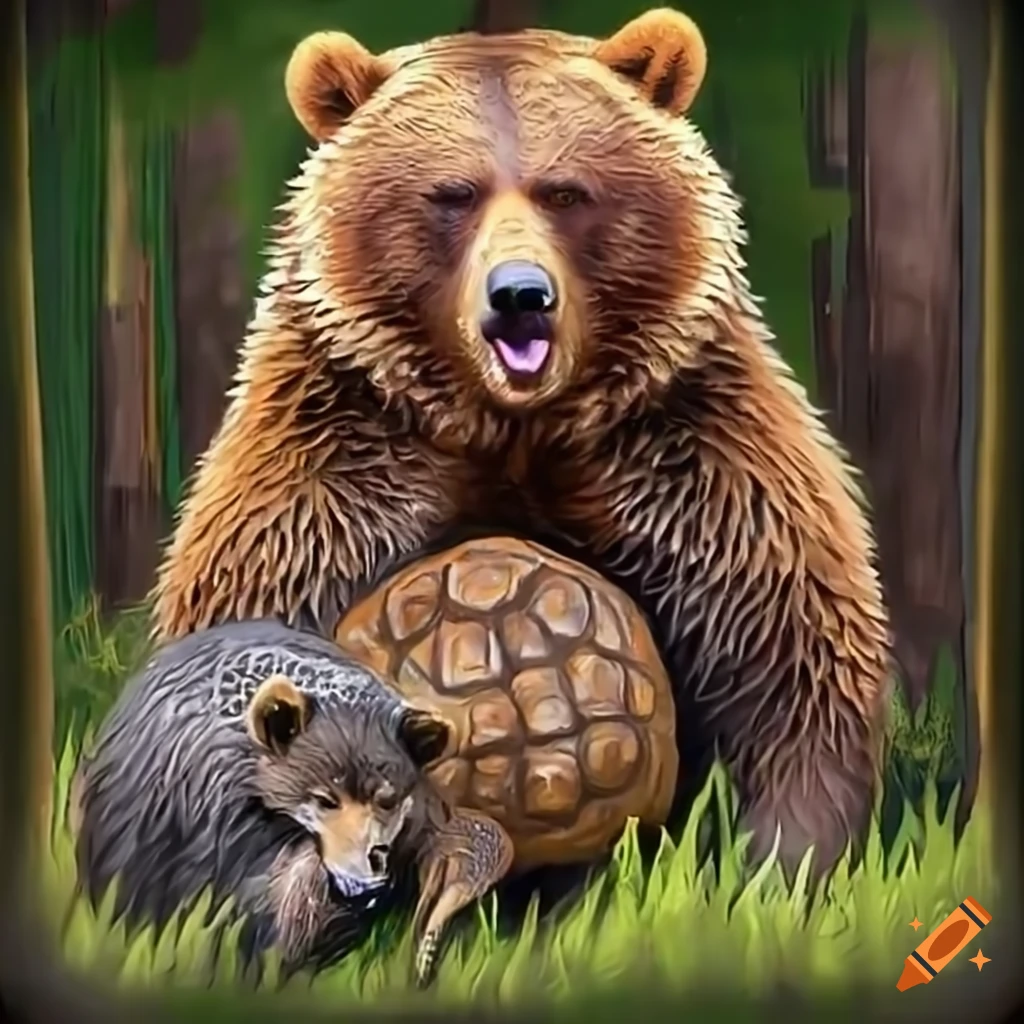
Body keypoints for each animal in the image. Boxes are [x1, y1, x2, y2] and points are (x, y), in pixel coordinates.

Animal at [150, 9, 891, 882]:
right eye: (453, 193)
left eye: (564, 191)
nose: (520, 295)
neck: (513, 422)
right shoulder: (341, 459)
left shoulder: (684, 455)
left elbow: (782, 657)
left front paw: (777, 861)